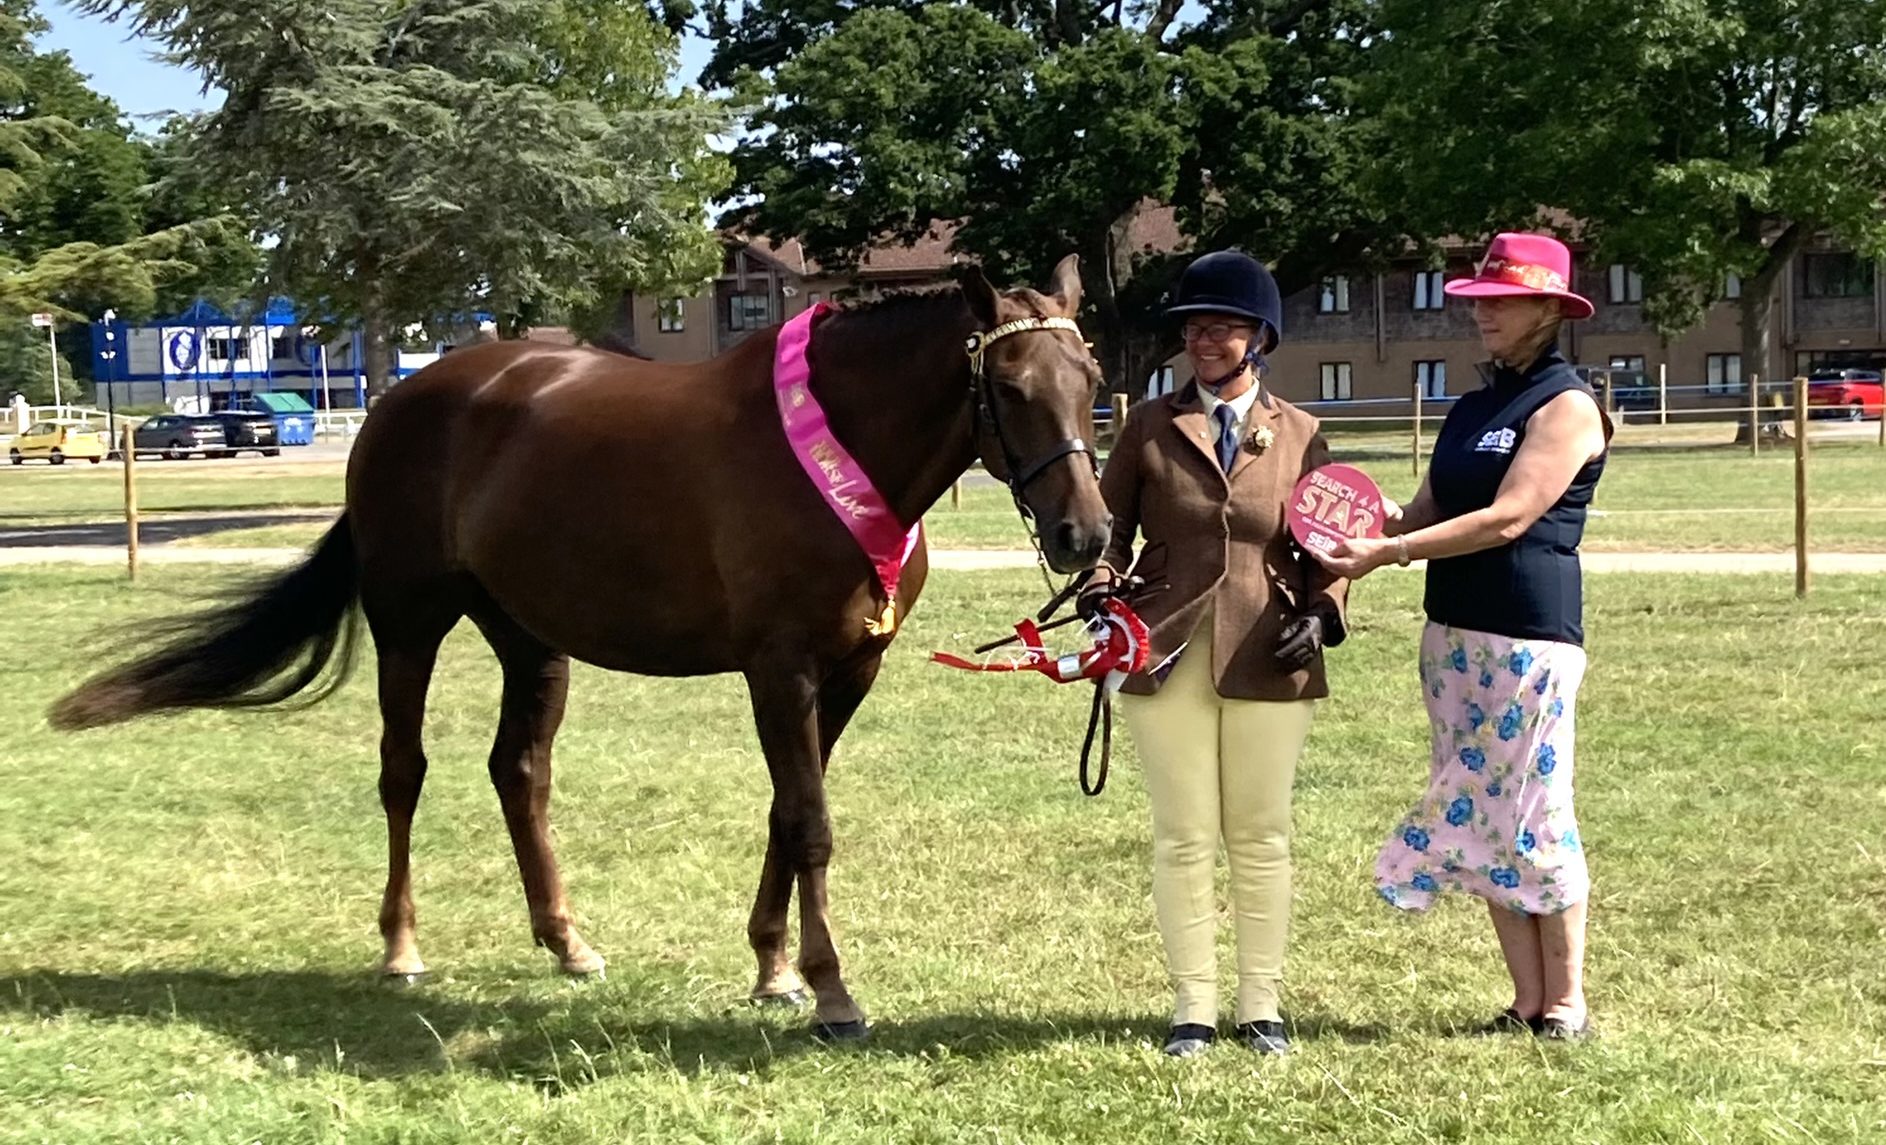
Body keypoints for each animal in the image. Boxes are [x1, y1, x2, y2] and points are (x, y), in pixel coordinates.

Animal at [49, 256, 1112, 1039]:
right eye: (1009, 385)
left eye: (1091, 382)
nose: (1086, 535)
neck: (831, 453)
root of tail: (403, 402)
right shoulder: (782, 669)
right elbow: (809, 822)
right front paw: (830, 989)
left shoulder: (850, 671)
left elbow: (784, 815)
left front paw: (772, 968)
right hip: (409, 621)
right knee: (404, 770)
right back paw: (400, 947)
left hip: (531, 642)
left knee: (517, 769)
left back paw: (566, 940)